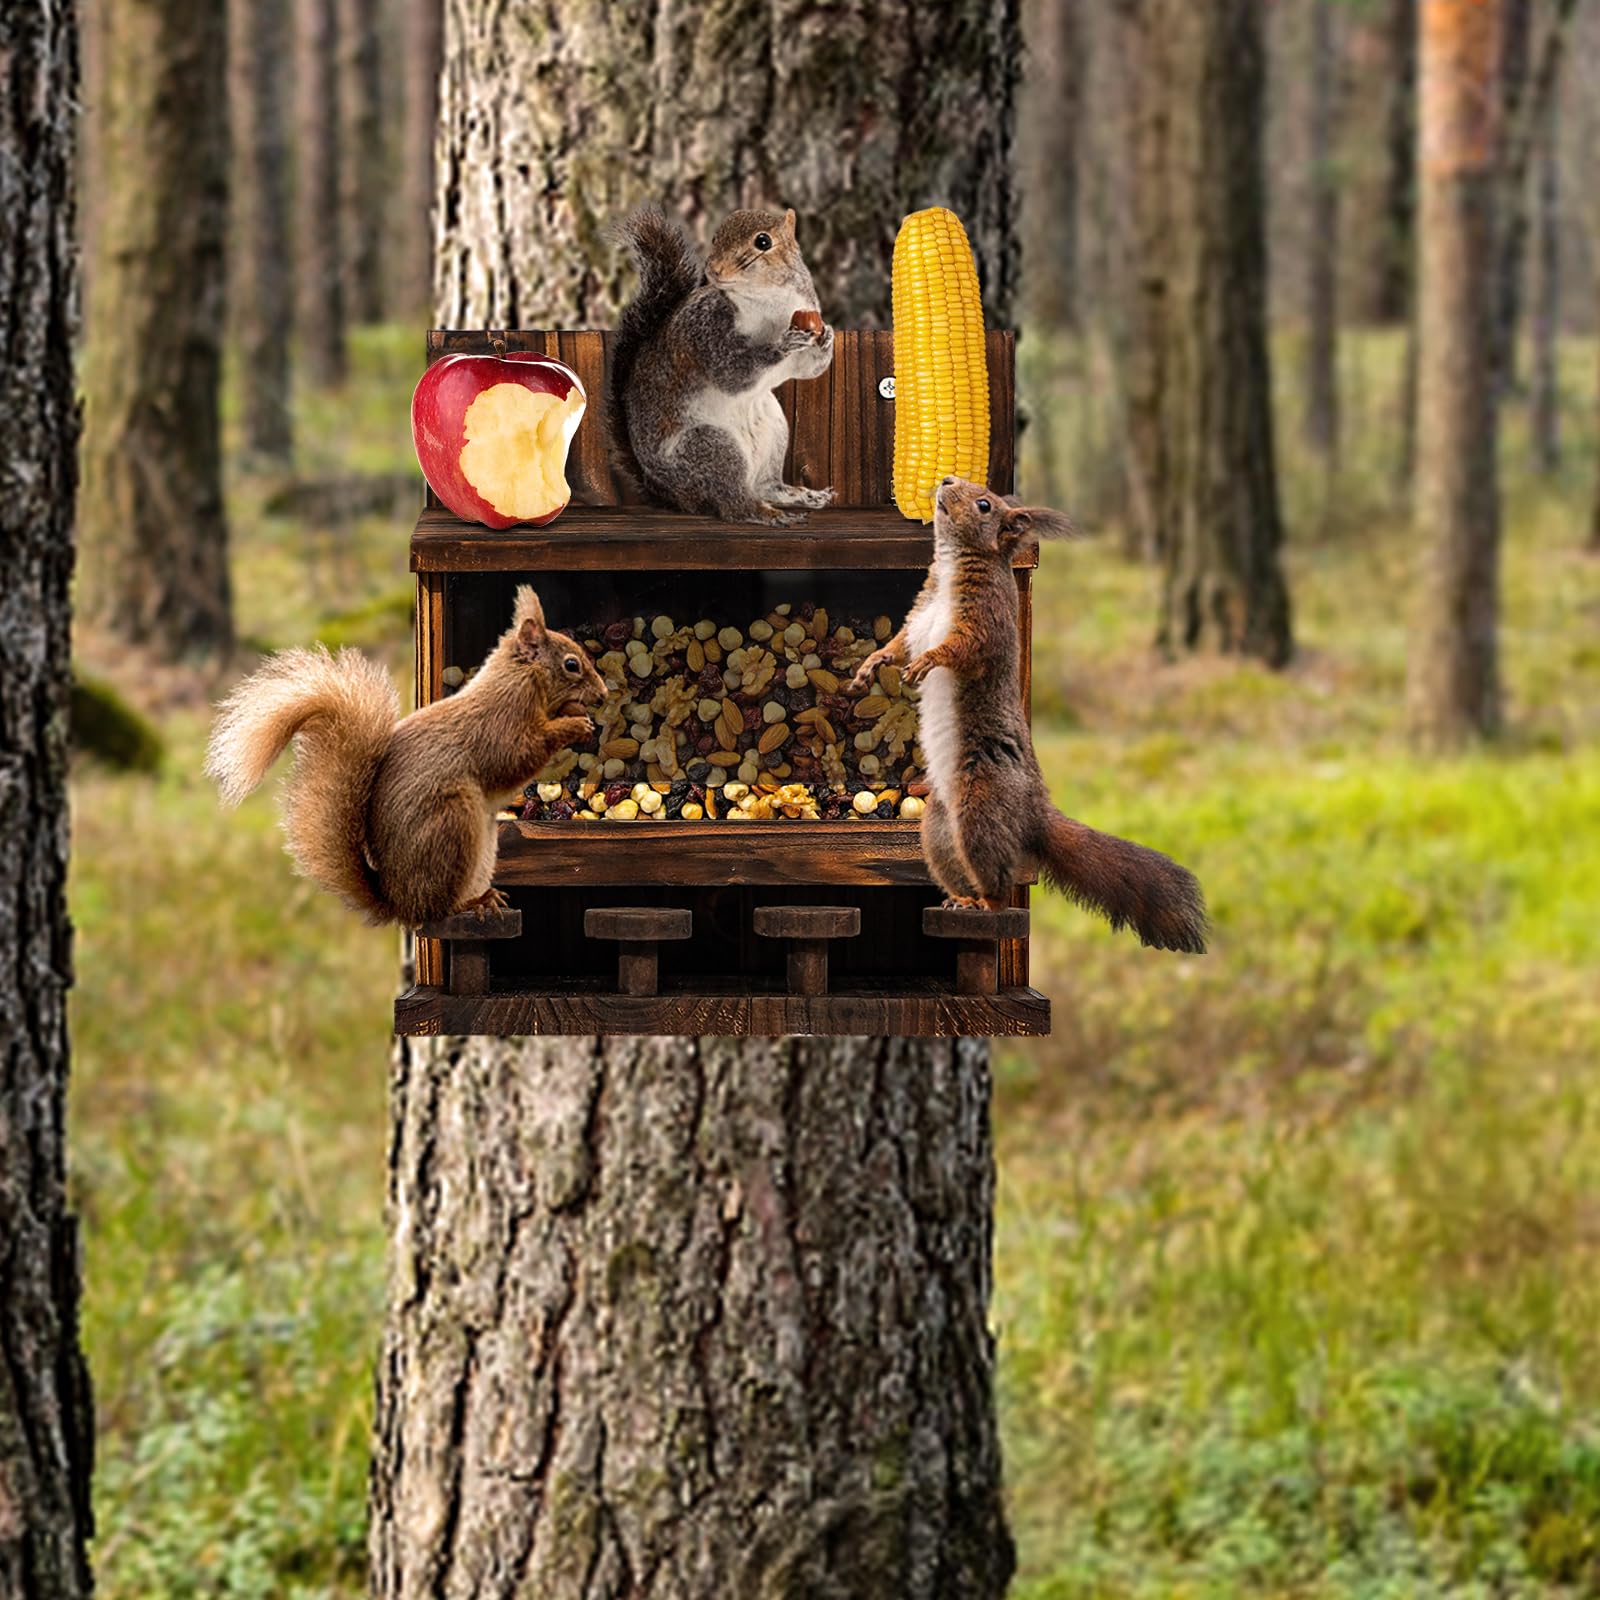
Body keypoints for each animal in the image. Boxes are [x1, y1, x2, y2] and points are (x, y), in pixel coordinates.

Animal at [204, 586, 607, 928]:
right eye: (572, 664)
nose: (603, 695)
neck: (521, 678)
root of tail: (400, 903)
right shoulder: (502, 727)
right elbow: (522, 753)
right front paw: (575, 724)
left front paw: (574, 714)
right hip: (453, 824)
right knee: (439, 910)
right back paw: (472, 904)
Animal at [606, 202, 836, 526]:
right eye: (715, 237)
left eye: (763, 242)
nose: (713, 270)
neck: (768, 300)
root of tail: (675, 496)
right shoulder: (706, 328)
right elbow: (732, 374)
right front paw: (782, 343)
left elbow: (808, 369)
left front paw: (828, 336)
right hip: (710, 449)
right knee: (733, 504)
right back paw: (766, 514)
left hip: (775, 430)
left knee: (766, 487)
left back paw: (801, 496)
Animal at [851, 476, 1208, 954]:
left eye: (985, 504)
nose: (946, 480)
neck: (952, 567)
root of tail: (1032, 813)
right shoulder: (919, 617)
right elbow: (900, 644)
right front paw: (872, 664)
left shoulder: (984, 619)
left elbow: (959, 649)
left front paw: (928, 662)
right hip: (940, 828)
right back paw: (962, 899)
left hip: (982, 808)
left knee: (1000, 884)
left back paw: (986, 905)